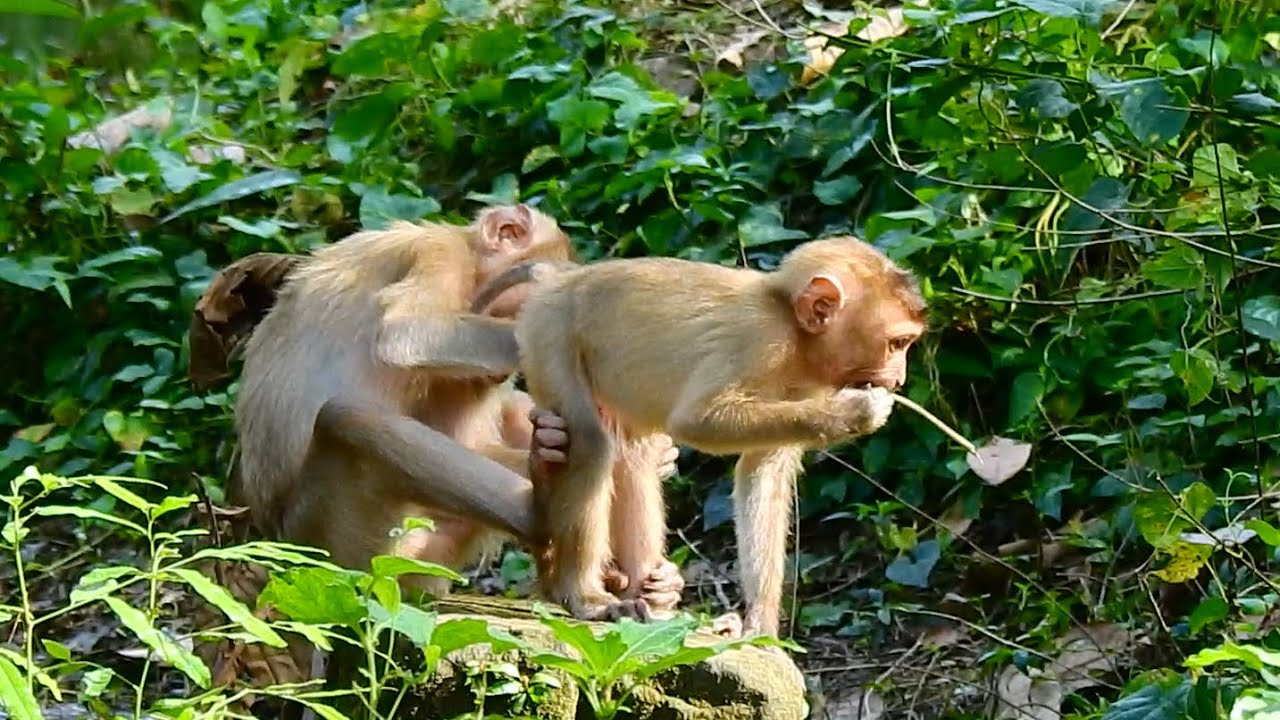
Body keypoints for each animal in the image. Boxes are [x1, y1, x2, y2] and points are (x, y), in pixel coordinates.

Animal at [487, 236, 926, 635]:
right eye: (897, 343)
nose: (901, 378)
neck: (796, 336)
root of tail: (560, 280)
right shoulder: (760, 341)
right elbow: (697, 420)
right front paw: (857, 412)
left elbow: (762, 473)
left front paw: (760, 628)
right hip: (549, 331)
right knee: (592, 444)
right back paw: (584, 596)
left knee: (632, 454)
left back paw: (653, 599)